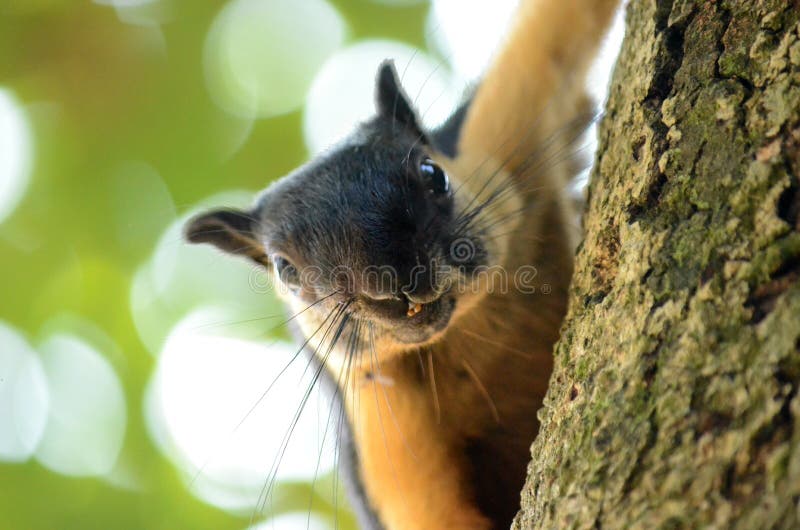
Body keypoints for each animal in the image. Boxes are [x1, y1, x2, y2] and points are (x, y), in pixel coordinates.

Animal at [185, 0, 619, 528]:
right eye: (285, 269)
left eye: (433, 173)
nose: (397, 282)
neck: (472, 333)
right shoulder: (380, 430)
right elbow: (432, 513)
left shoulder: (504, 123)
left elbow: (559, 30)